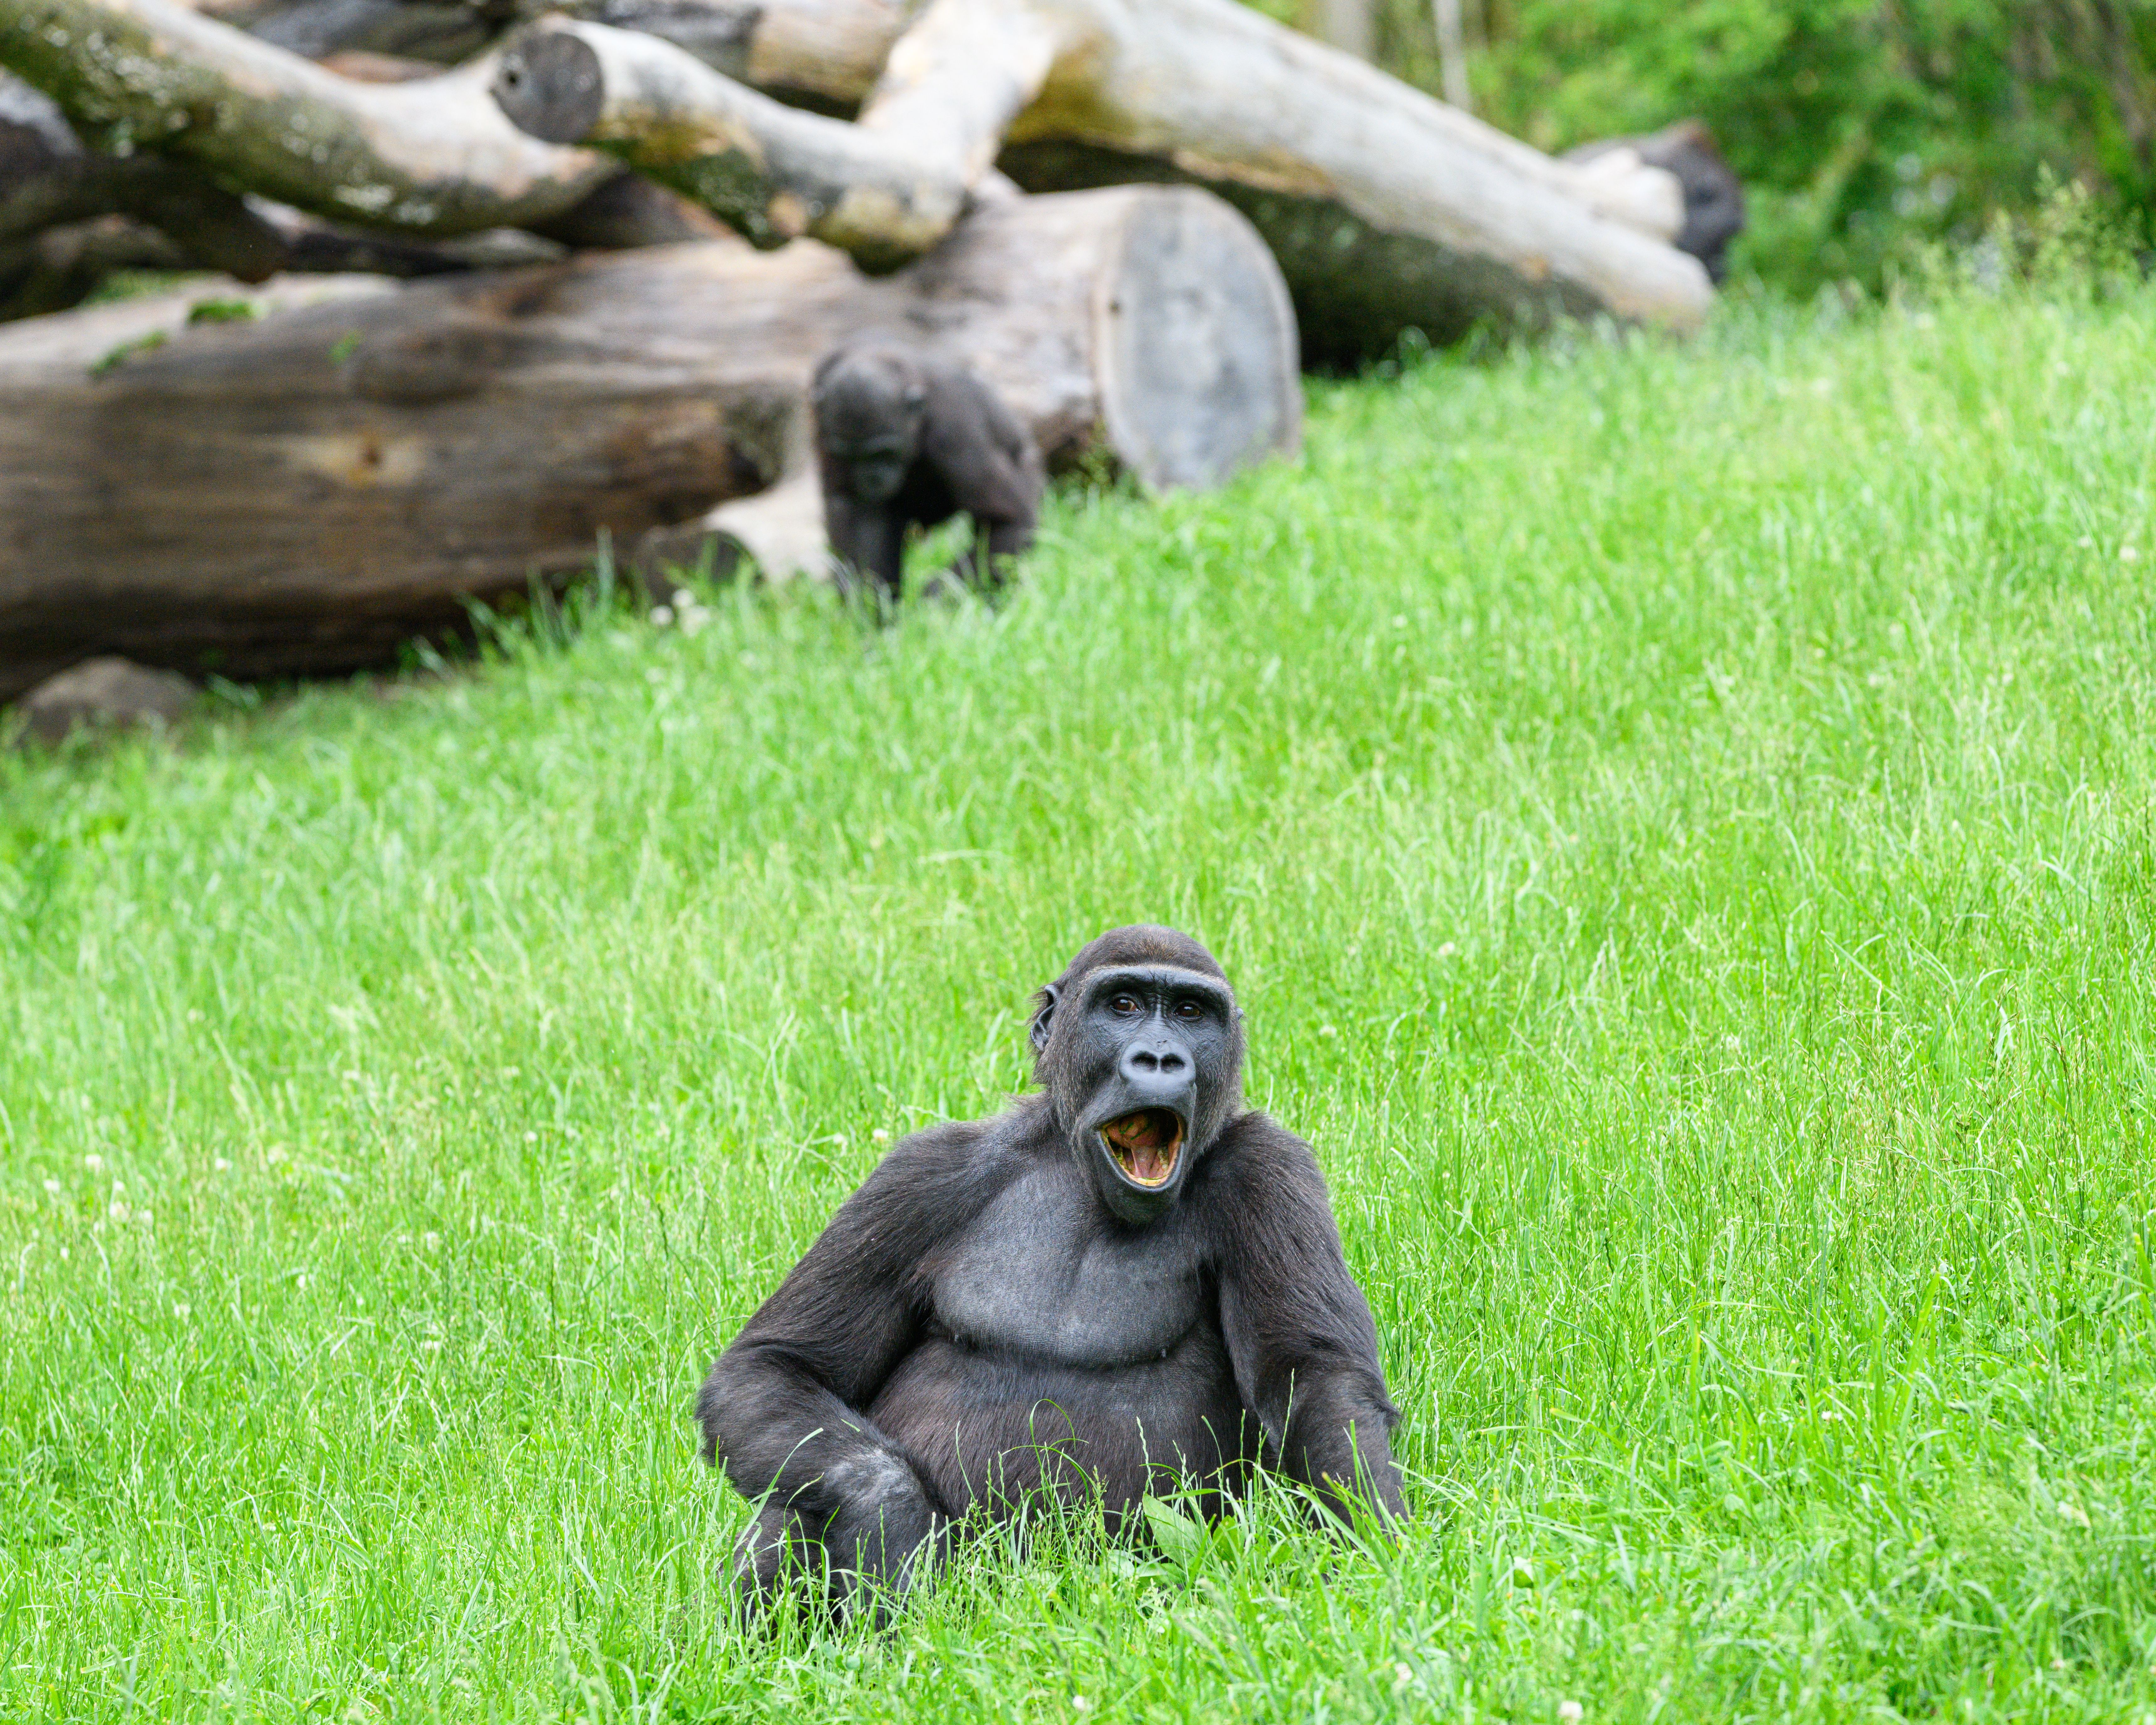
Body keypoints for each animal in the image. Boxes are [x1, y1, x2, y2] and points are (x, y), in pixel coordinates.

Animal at [696, 925, 1406, 1625]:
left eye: (1188, 1012)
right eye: (1123, 1005)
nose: (1159, 1059)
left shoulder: (1272, 1169)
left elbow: (1315, 1383)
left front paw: (1371, 1569)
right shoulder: (920, 1174)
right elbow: (778, 1364)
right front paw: (888, 1513)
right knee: (804, 1485)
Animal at [811, 334, 1045, 599]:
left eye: (883, 453)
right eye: (849, 456)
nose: (871, 478)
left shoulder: (955, 429)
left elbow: (1006, 520)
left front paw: (937, 594)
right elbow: (848, 504)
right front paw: (868, 599)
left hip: (1030, 467)